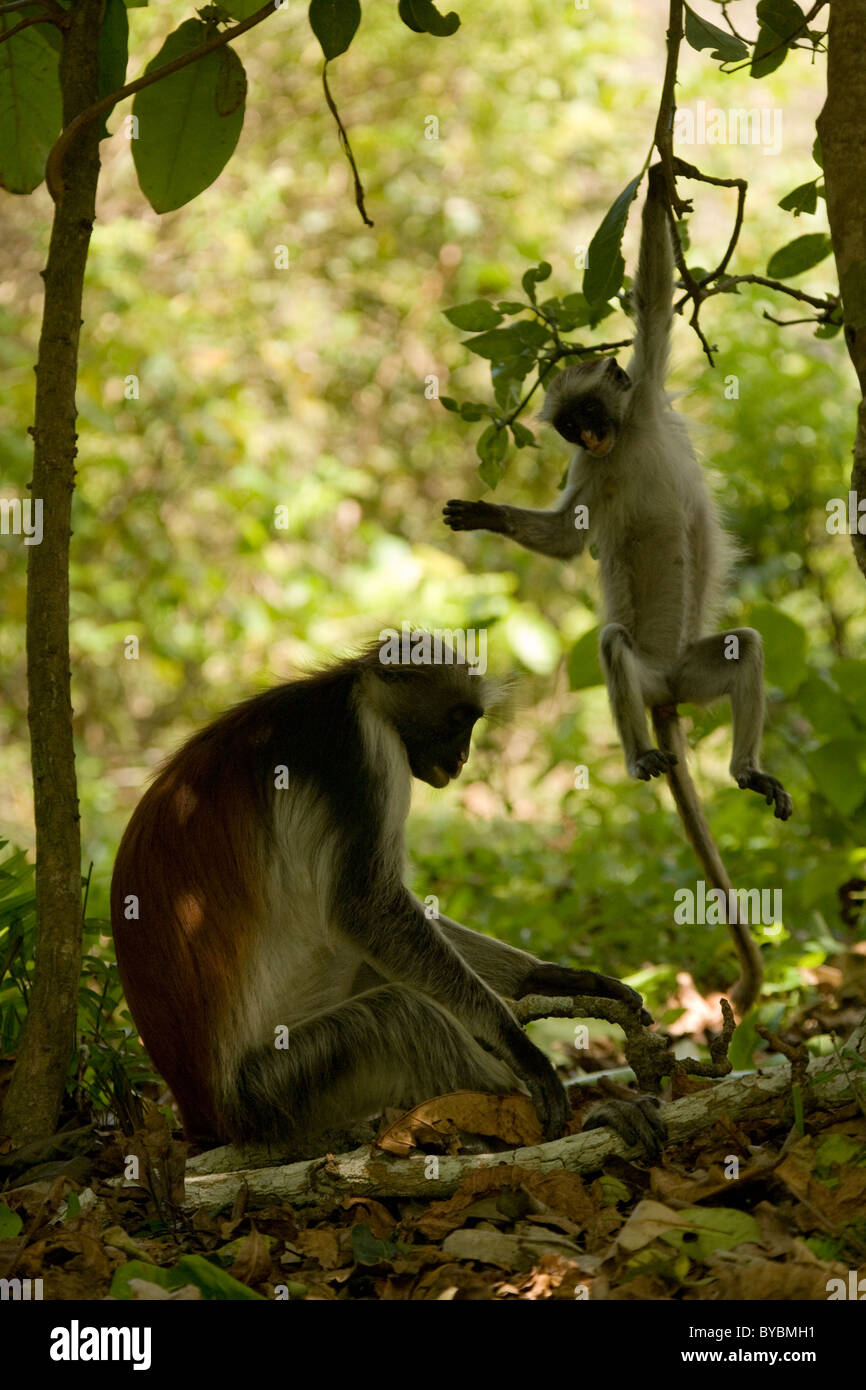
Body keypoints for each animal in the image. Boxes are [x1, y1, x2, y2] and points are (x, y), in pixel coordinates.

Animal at [111, 637, 665, 1157]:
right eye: (457, 720)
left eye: (471, 723)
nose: (461, 758)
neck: (353, 691)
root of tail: (201, 1113)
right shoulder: (364, 752)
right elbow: (367, 909)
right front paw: (518, 1045)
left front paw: (552, 977)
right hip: (276, 1087)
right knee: (406, 1014)